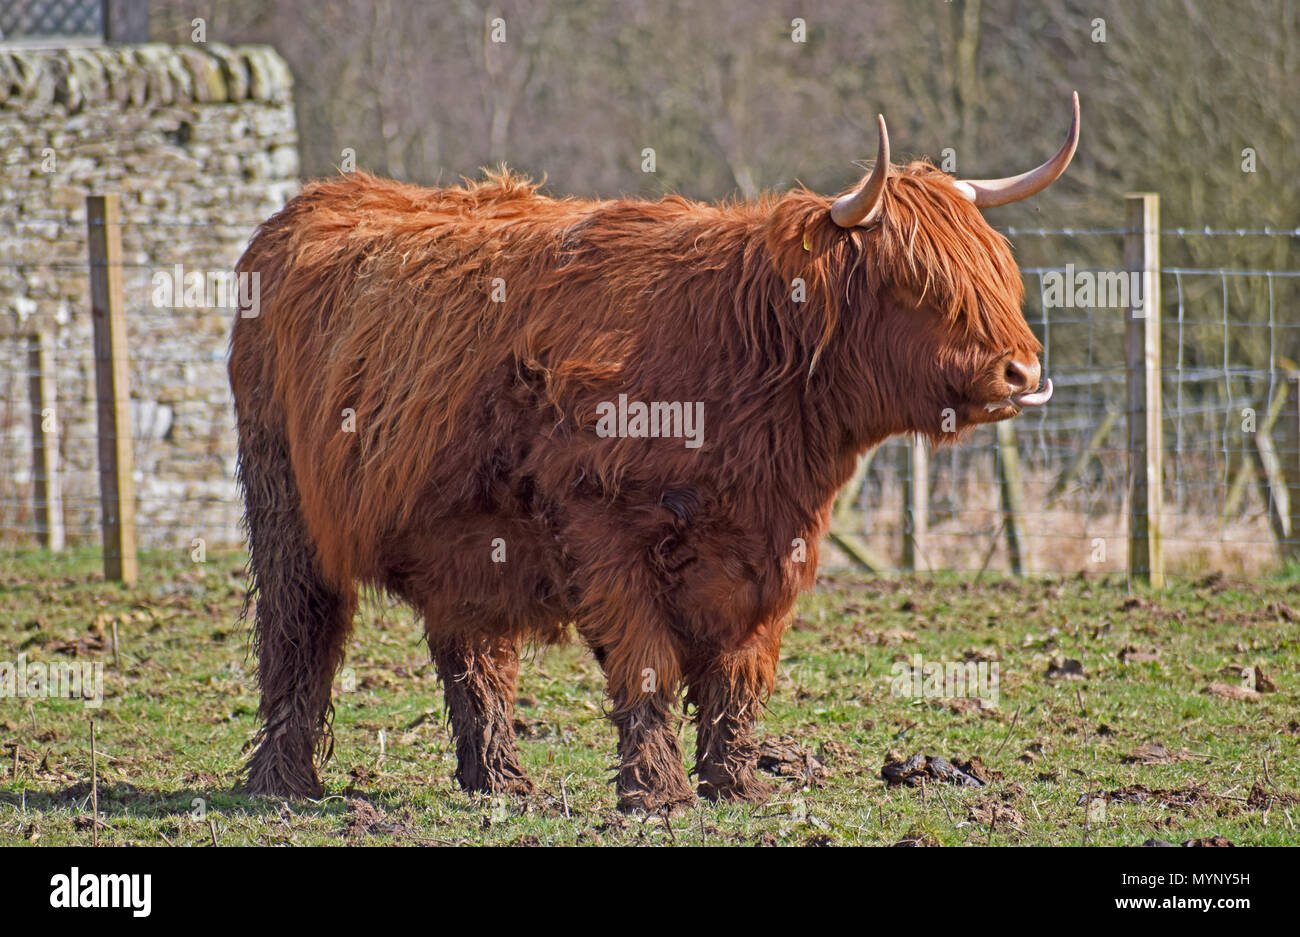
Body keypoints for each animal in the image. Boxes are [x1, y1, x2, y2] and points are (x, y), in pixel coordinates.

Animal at [229, 94, 1078, 812]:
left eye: (995, 269)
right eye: (918, 280)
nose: (1021, 370)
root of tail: (314, 202)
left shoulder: (772, 551)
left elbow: (738, 675)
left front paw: (736, 784)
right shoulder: (601, 527)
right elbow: (646, 665)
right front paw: (657, 792)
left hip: (461, 532)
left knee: (473, 653)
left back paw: (499, 780)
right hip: (284, 504)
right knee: (300, 633)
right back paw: (285, 783)